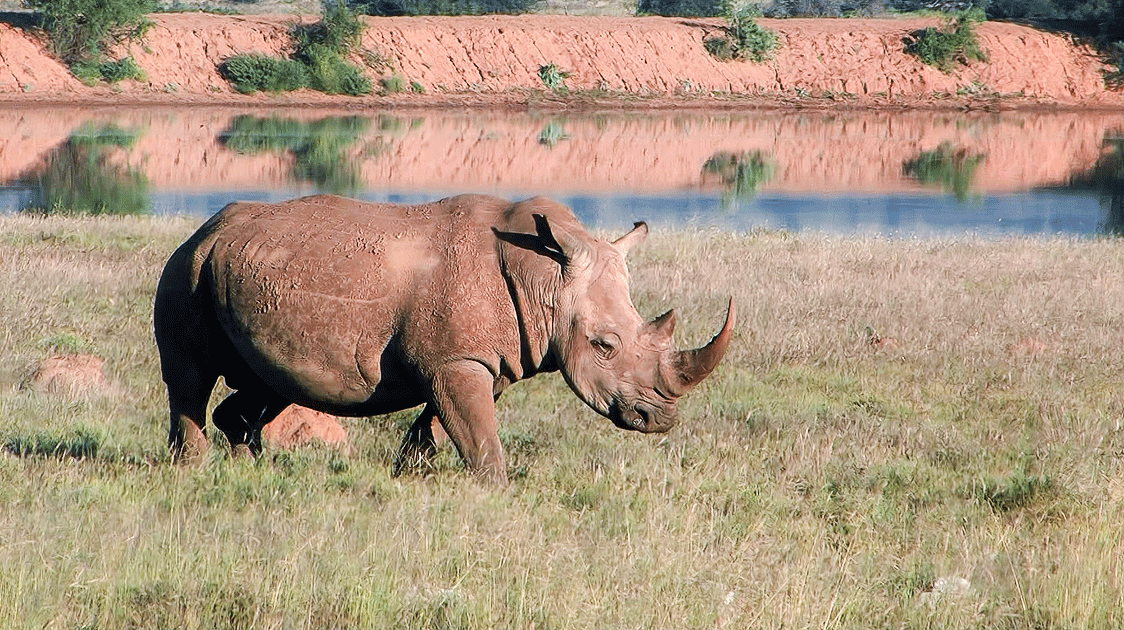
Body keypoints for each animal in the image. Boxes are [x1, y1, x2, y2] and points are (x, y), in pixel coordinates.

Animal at [154, 194, 734, 484]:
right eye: (604, 346)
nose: (660, 418)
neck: (544, 277)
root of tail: (206, 228)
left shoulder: (473, 359)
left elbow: (442, 420)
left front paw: (410, 474)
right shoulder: (457, 361)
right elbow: (479, 435)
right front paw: (496, 489)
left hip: (238, 268)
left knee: (268, 385)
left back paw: (250, 467)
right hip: (188, 266)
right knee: (190, 376)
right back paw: (193, 472)